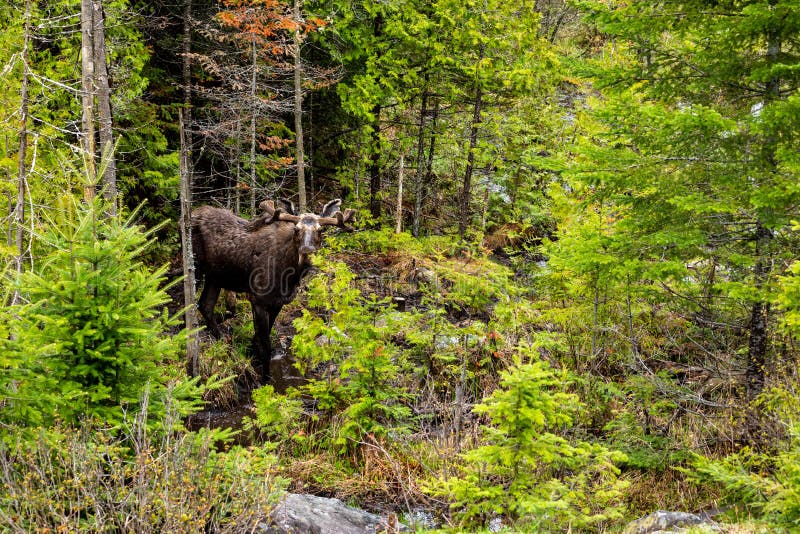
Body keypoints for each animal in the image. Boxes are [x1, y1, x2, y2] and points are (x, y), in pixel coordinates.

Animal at [191, 199, 354, 377]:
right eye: (296, 229)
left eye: (321, 230)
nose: (307, 250)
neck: (288, 277)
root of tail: (192, 213)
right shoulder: (258, 300)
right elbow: (266, 347)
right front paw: (265, 377)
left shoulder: (279, 302)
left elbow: (259, 338)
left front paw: (252, 356)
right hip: (196, 268)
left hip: (215, 277)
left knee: (205, 305)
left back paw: (223, 342)